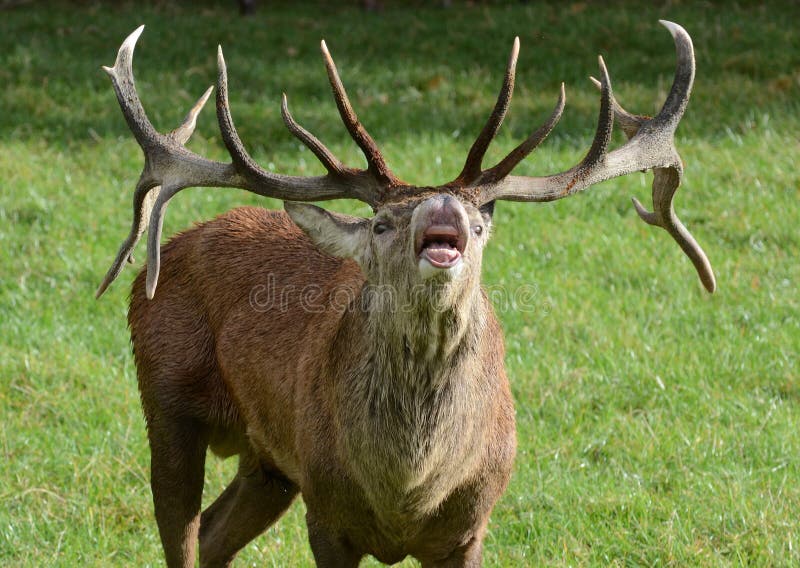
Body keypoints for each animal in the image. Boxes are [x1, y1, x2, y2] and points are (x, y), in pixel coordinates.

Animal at [96, 20, 715, 567]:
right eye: (380, 224)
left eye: (480, 222)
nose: (443, 207)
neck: (408, 488)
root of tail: (171, 246)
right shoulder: (326, 516)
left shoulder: (469, 527)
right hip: (166, 397)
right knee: (182, 533)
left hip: (267, 460)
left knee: (214, 534)